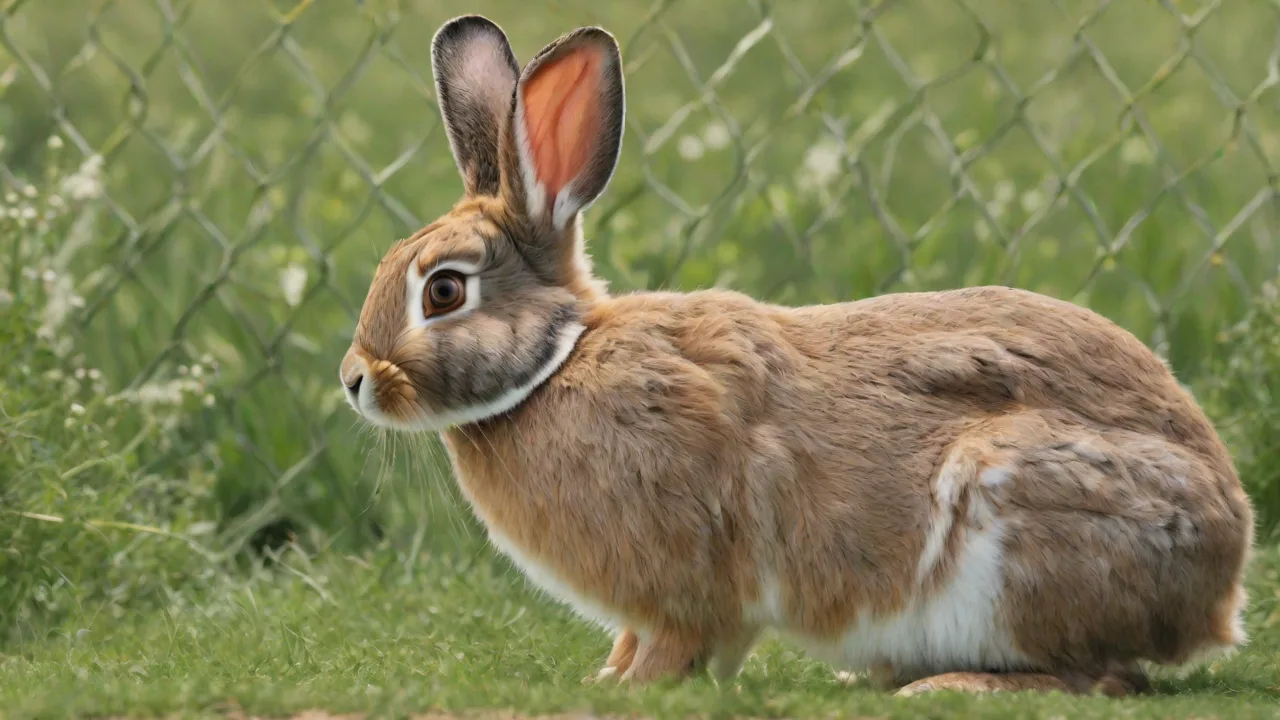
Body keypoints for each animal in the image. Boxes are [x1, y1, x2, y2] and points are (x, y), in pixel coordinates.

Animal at [338, 14, 1255, 697]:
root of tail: (1224, 578)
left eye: (444, 292)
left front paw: (631, 689)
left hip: (1015, 518)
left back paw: (945, 686)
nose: (354, 383)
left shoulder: (689, 581)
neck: (558, 362)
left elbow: (684, 643)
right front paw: (607, 678)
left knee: (1099, 676)